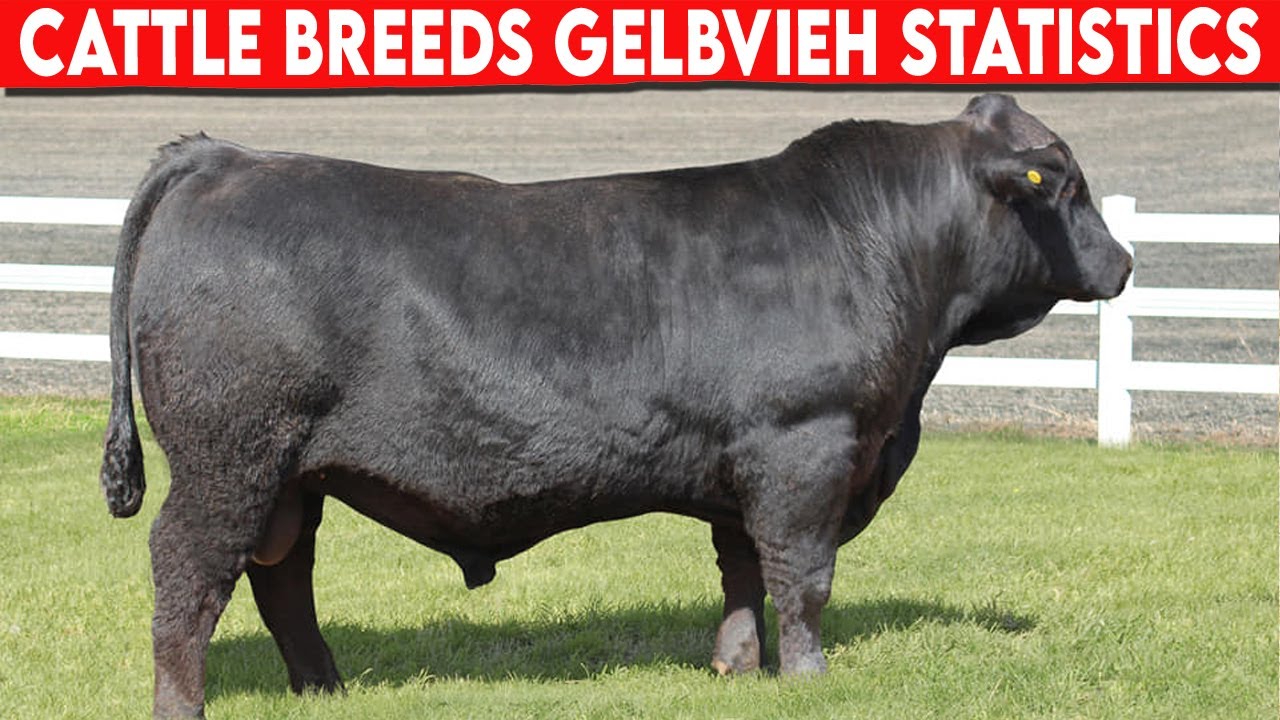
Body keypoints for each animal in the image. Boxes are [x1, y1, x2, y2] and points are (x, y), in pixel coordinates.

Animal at [99, 94, 1131, 718]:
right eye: (1067, 183)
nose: (1123, 263)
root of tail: (224, 155)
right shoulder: (807, 447)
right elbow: (804, 577)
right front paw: (807, 676)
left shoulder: (740, 462)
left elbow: (741, 570)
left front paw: (733, 666)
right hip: (228, 454)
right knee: (189, 572)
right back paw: (183, 702)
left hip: (288, 473)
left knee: (281, 576)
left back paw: (326, 691)